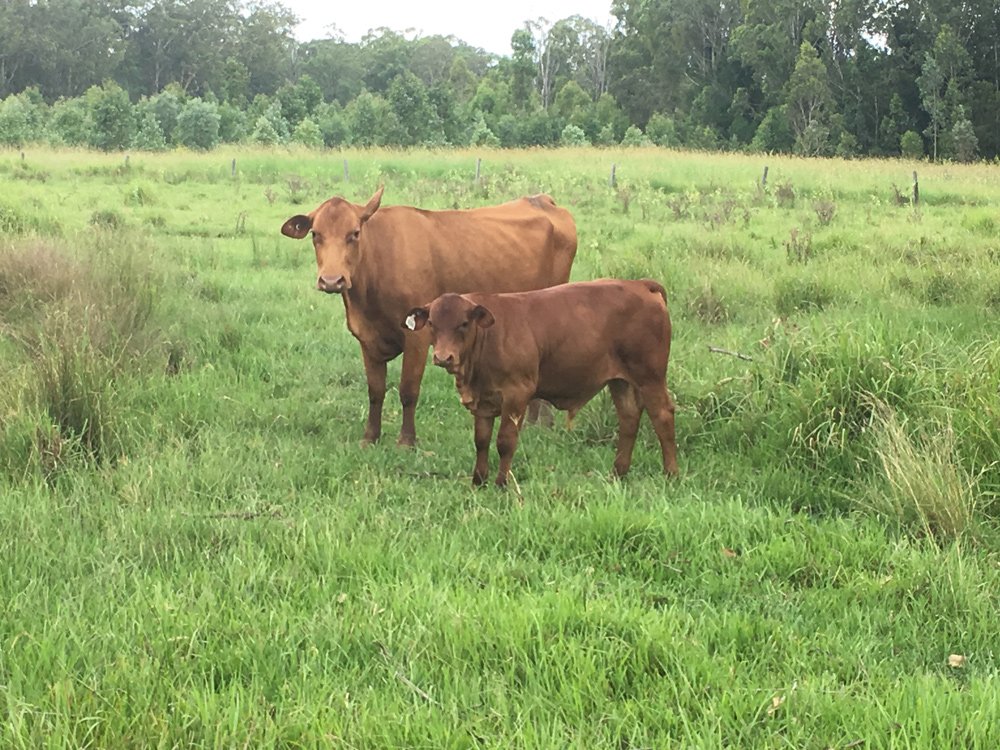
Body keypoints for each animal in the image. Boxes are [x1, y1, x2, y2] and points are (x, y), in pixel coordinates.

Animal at [280, 187, 577, 446]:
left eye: (354, 233)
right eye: (315, 234)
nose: (332, 280)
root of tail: (542, 200)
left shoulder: (418, 337)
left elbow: (408, 390)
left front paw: (406, 441)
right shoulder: (366, 338)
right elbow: (375, 391)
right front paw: (370, 438)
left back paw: (541, 422)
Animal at [402, 279, 679, 486]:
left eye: (464, 323)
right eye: (432, 323)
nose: (443, 357)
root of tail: (640, 284)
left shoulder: (517, 394)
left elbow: (505, 441)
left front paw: (501, 483)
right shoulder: (483, 401)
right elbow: (481, 440)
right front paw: (478, 481)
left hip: (650, 377)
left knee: (662, 416)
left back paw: (671, 473)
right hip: (621, 381)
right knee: (629, 418)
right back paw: (618, 473)